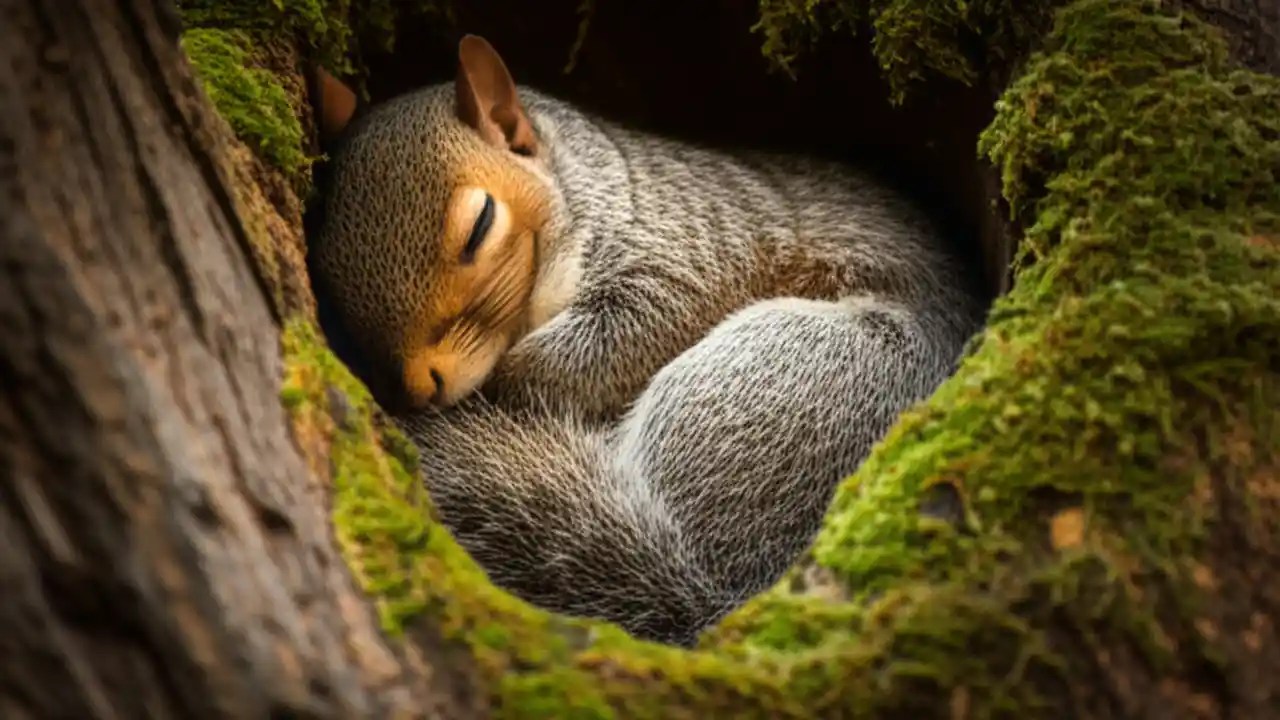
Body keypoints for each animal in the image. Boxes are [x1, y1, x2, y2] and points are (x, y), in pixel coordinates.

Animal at [307, 35, 986, 646]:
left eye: (479, 227)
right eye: (327, 273)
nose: (420, 389)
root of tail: (727, 596)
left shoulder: (686, 252)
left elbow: (622, 335)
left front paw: (507, 387)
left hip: (777, 379)